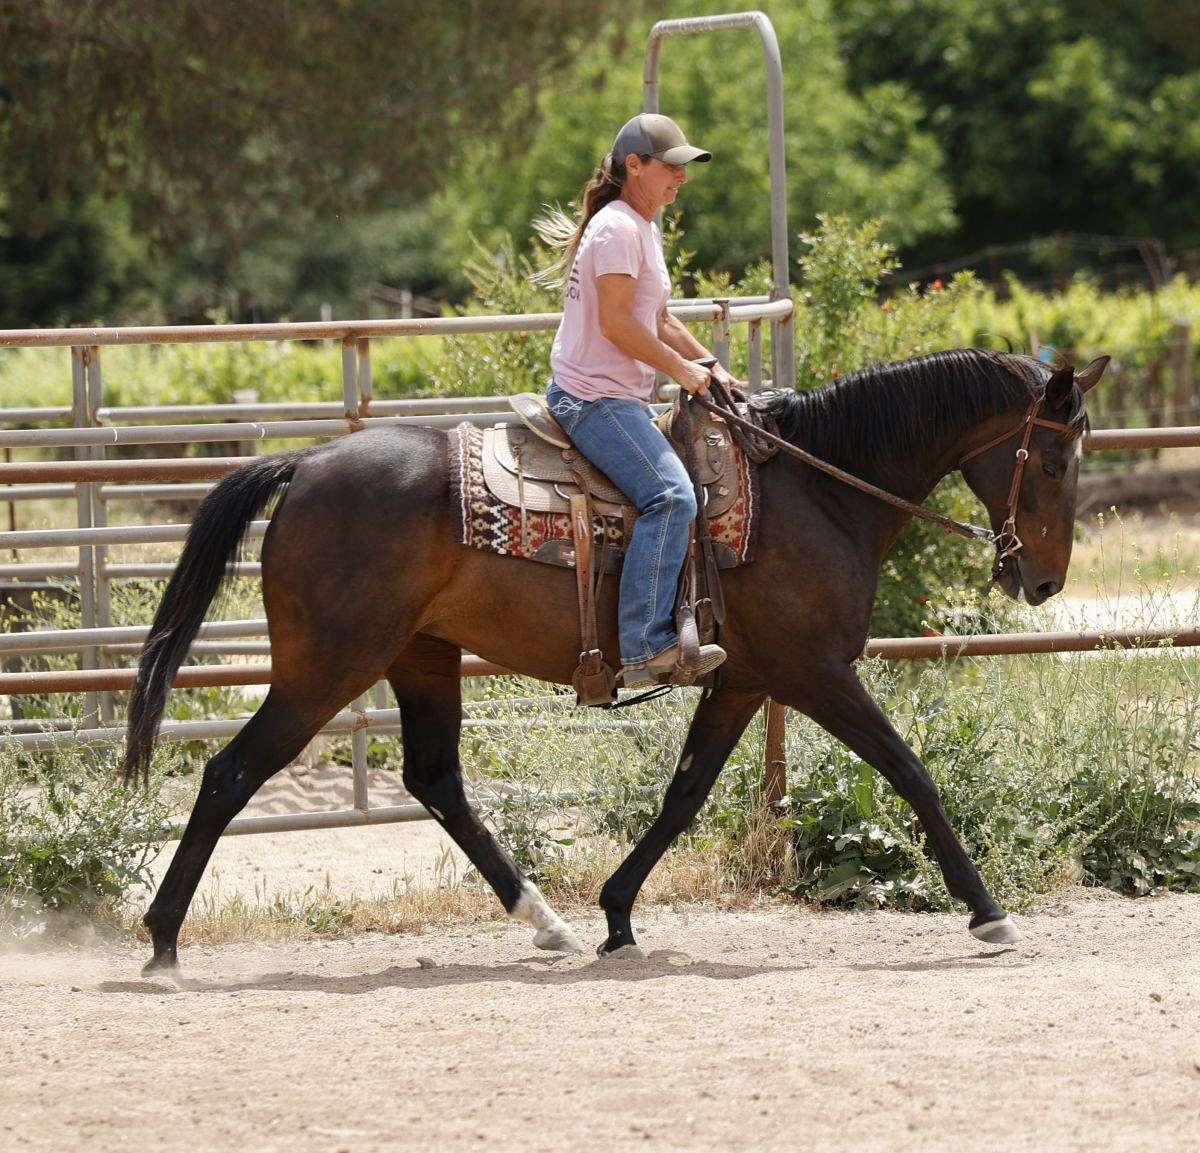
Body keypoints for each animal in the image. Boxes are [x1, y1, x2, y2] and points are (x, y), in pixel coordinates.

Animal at [124, 347, 1107, 973]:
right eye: (1055, 458)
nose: (1045, 579)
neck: (817, 489)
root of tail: (306, 464)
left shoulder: (743, 678)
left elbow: (684, 794)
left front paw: (618, 913)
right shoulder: (817, 672)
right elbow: (911, 771)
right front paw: (988, 911)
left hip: (420, 657)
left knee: (437, 780)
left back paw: (547, 922)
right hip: (325, 667)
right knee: (230, 773)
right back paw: (163, 939)